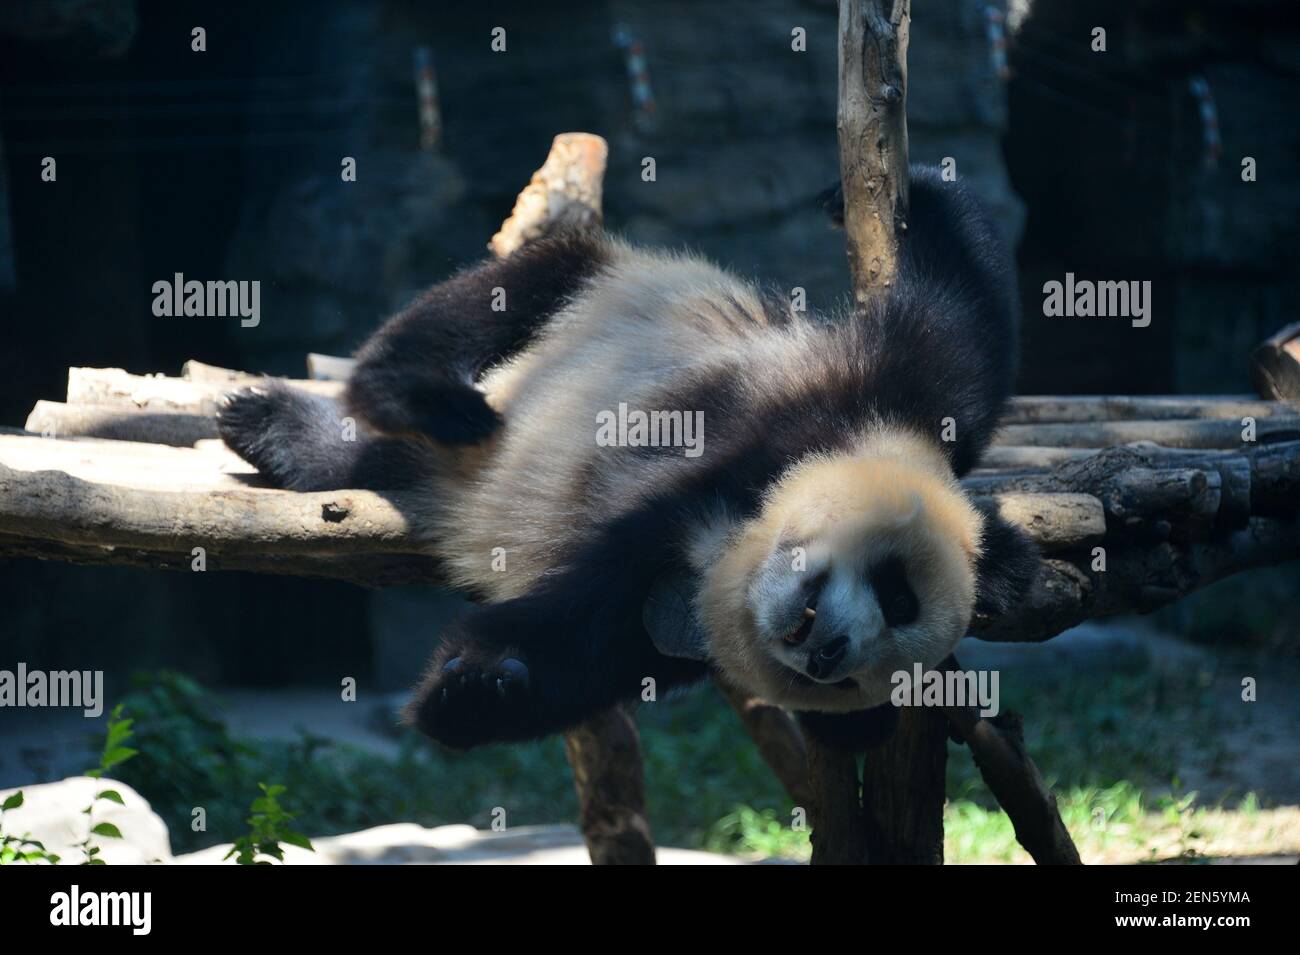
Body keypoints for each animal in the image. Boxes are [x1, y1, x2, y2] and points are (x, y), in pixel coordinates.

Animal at [217, 165, 1040, 751]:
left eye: (859, 678)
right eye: (895, 592)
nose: (832, 652)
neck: (733, 548)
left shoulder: (673, 633)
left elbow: (582, 655)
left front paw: (478, 696)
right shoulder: (841, 408)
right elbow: (958, 322)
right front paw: (908, 190)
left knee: (388, 466)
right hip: (598, 293)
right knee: (503, 295)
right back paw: (339, 411)